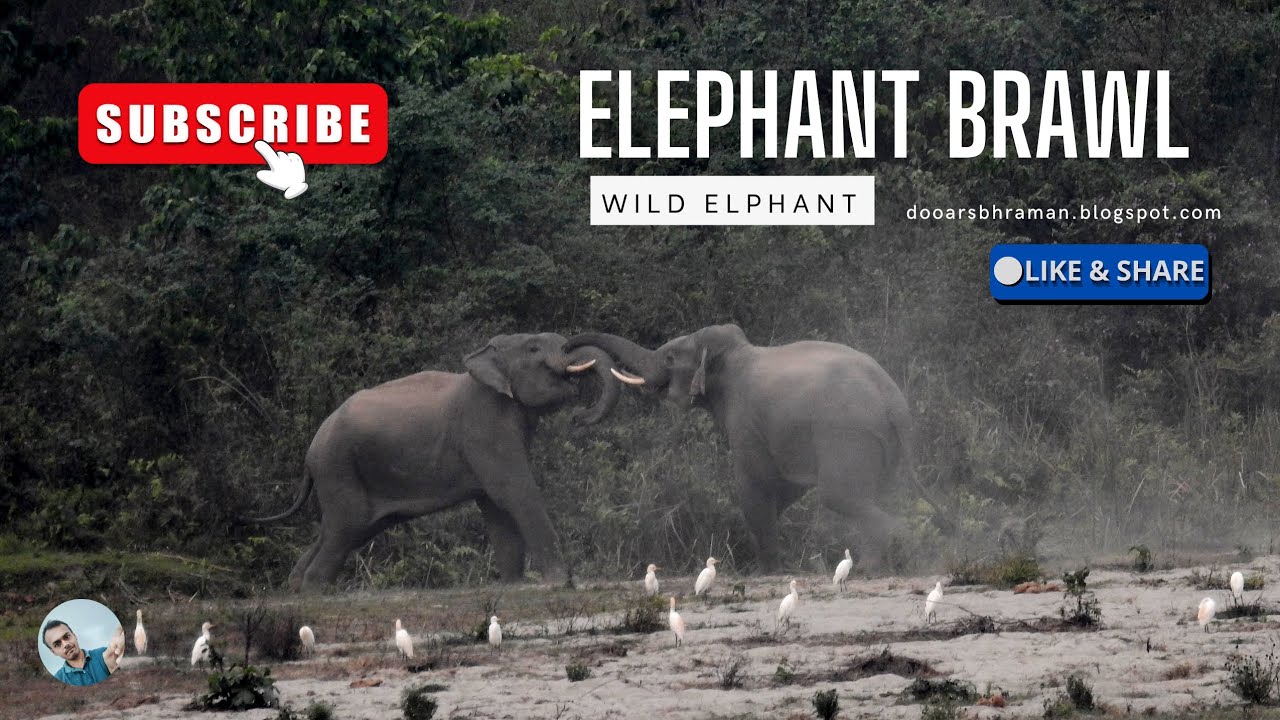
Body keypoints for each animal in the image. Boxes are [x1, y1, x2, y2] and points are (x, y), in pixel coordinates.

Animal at [253, 333, 620, 592]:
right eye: (533, 349)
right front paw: (560, 583)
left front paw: (513, 584)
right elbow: (514, 492)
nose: (578, 415)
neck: (484, 363)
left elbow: (495, 505)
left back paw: (296, 585)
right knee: (347, 525)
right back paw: (314, 590)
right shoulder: (484, 426)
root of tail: (311, 449)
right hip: (338, 467)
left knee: (341, 529)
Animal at [566, 324, 920, 573]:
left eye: (669, 358)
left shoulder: (745, 420)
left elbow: (754, 486)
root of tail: (893, 401)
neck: (732, 352)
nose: (577, 415)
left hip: (850, 435)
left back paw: (891, 552)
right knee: (868, 495)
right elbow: (783, 488)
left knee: (839, 496)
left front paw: (768, 571)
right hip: (878, 442)